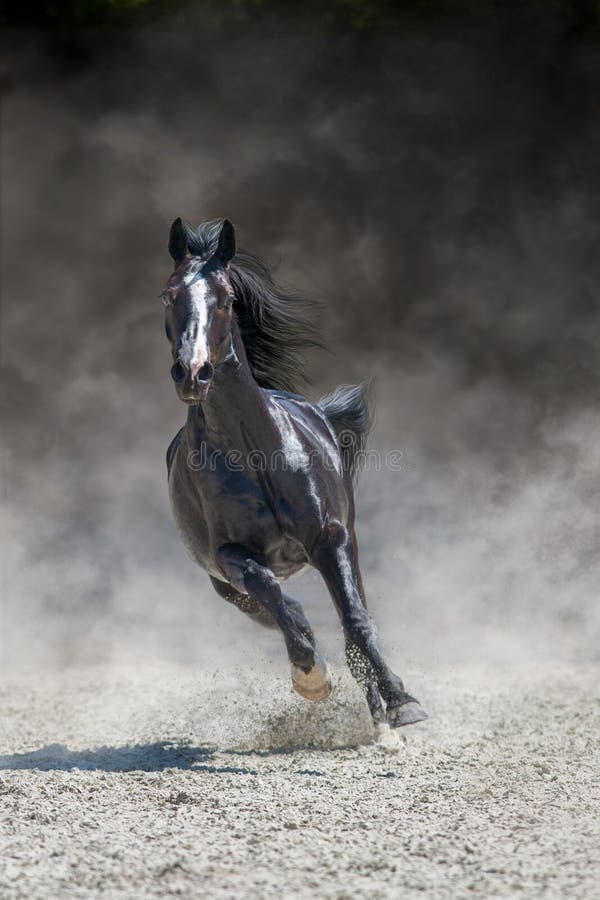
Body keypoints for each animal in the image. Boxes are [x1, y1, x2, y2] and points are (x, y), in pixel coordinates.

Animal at [162, 217, 427, 734]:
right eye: (168, 295)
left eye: (226, 296)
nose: (192, 372)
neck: (255, 455)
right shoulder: (229, 556)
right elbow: (275, 595)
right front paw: (311, 677)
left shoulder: (331, 538)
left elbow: (356, 622)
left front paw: (402, 703)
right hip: (225, 588)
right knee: (279, 608)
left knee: (350, 619)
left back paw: (379, 714)